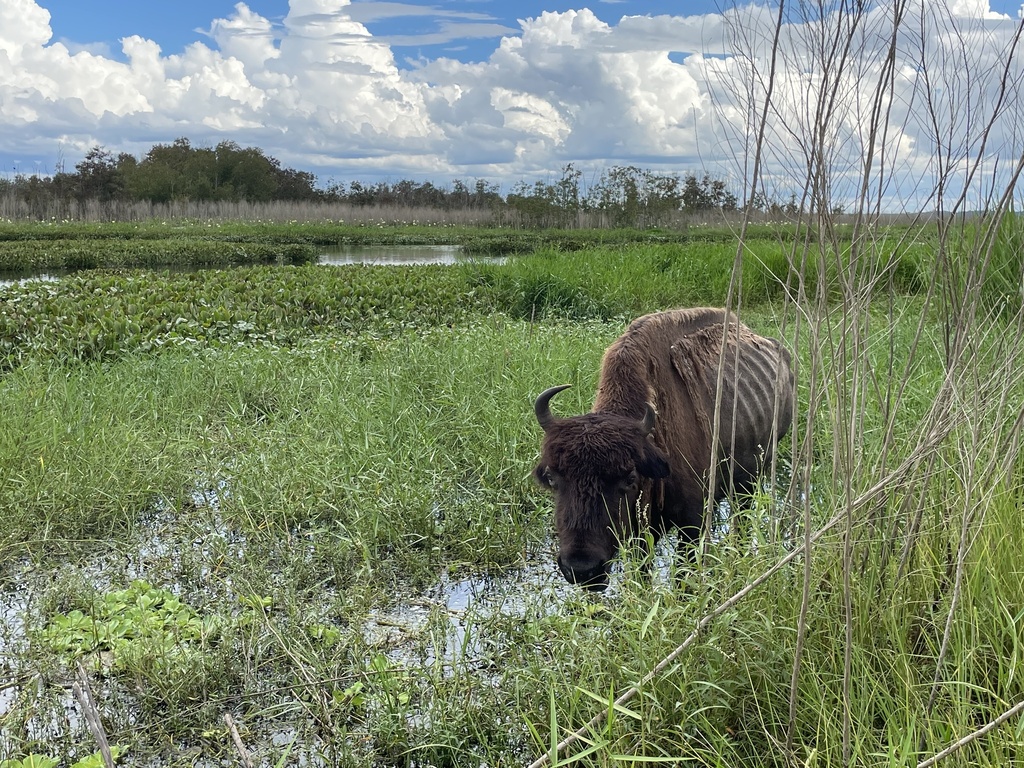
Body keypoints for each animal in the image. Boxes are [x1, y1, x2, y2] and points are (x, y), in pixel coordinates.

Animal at [534, 307, 794, 590]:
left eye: (629, 477)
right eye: (552, 477)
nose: (582, 569)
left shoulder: (691, 524)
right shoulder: (641, 531)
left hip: (753, 476)